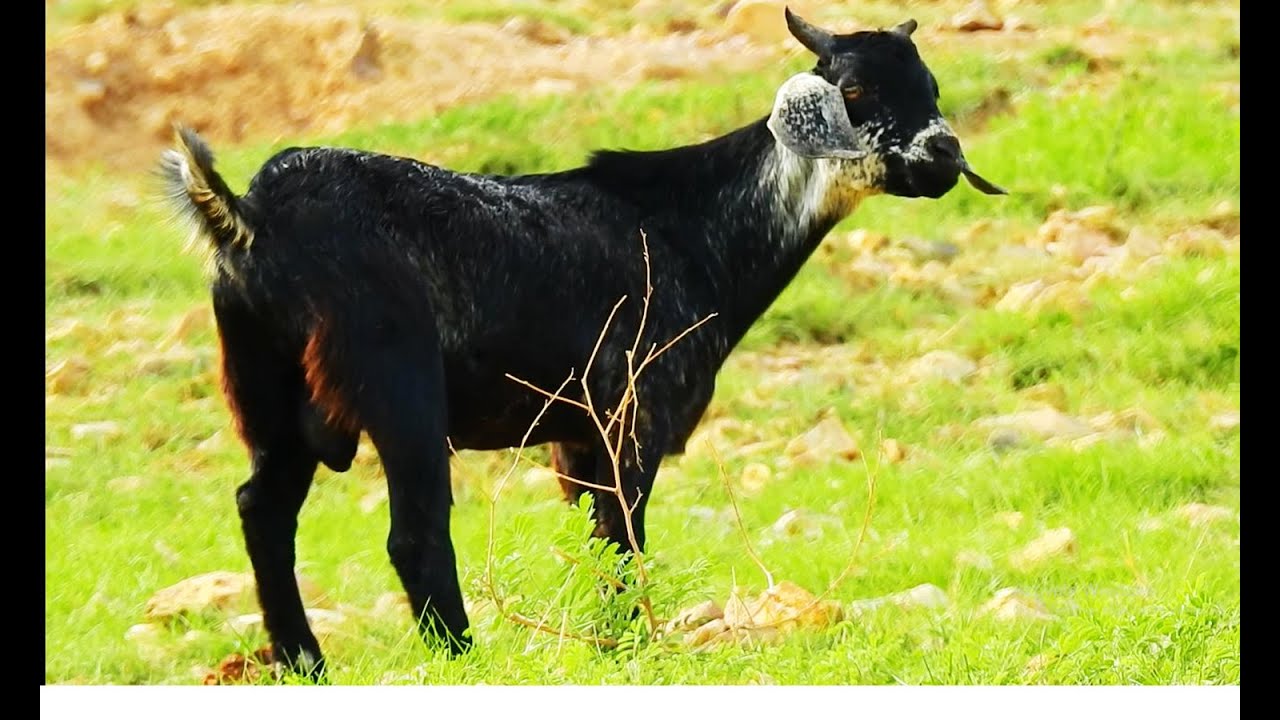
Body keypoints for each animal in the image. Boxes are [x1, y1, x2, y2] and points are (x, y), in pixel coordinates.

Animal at [160, 8, 1004, 678]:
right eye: (854, 92)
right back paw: (464, 659)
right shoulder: (633, 412)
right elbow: (622, 537)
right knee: (415, 533)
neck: (696, 227)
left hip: (268, 395)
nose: (942, 157)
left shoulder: (572, 435)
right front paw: (631, 648)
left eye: (929, 86)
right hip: (399, 388)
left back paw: (305, 664)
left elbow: (593, 542)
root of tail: (250, 216)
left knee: (262, 509)